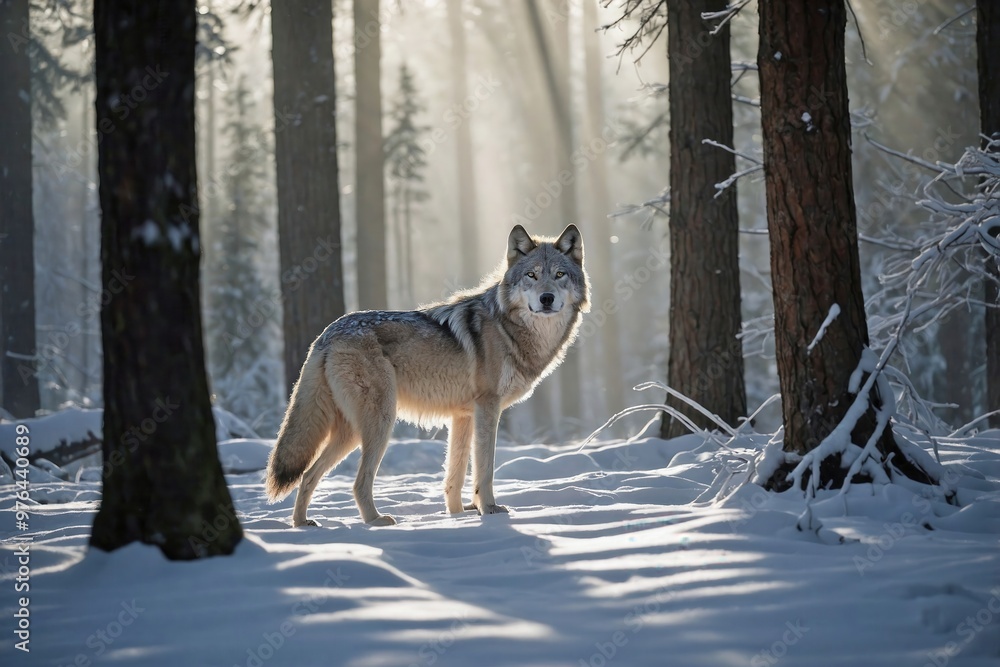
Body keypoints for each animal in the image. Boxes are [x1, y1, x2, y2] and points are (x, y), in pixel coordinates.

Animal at [265, 224, 590, 526]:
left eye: (559, 274)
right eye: (531, 276)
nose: (546, 298)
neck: (509, 328)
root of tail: (326, 334)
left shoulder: (463, 416)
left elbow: (454, 476)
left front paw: (457, 516)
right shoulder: (488, 408)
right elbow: (484, 468)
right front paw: (489, 510)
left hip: (348, 432)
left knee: (307, 475)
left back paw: (302, 524)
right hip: (380, 422)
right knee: (358, 482)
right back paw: (375, 521)